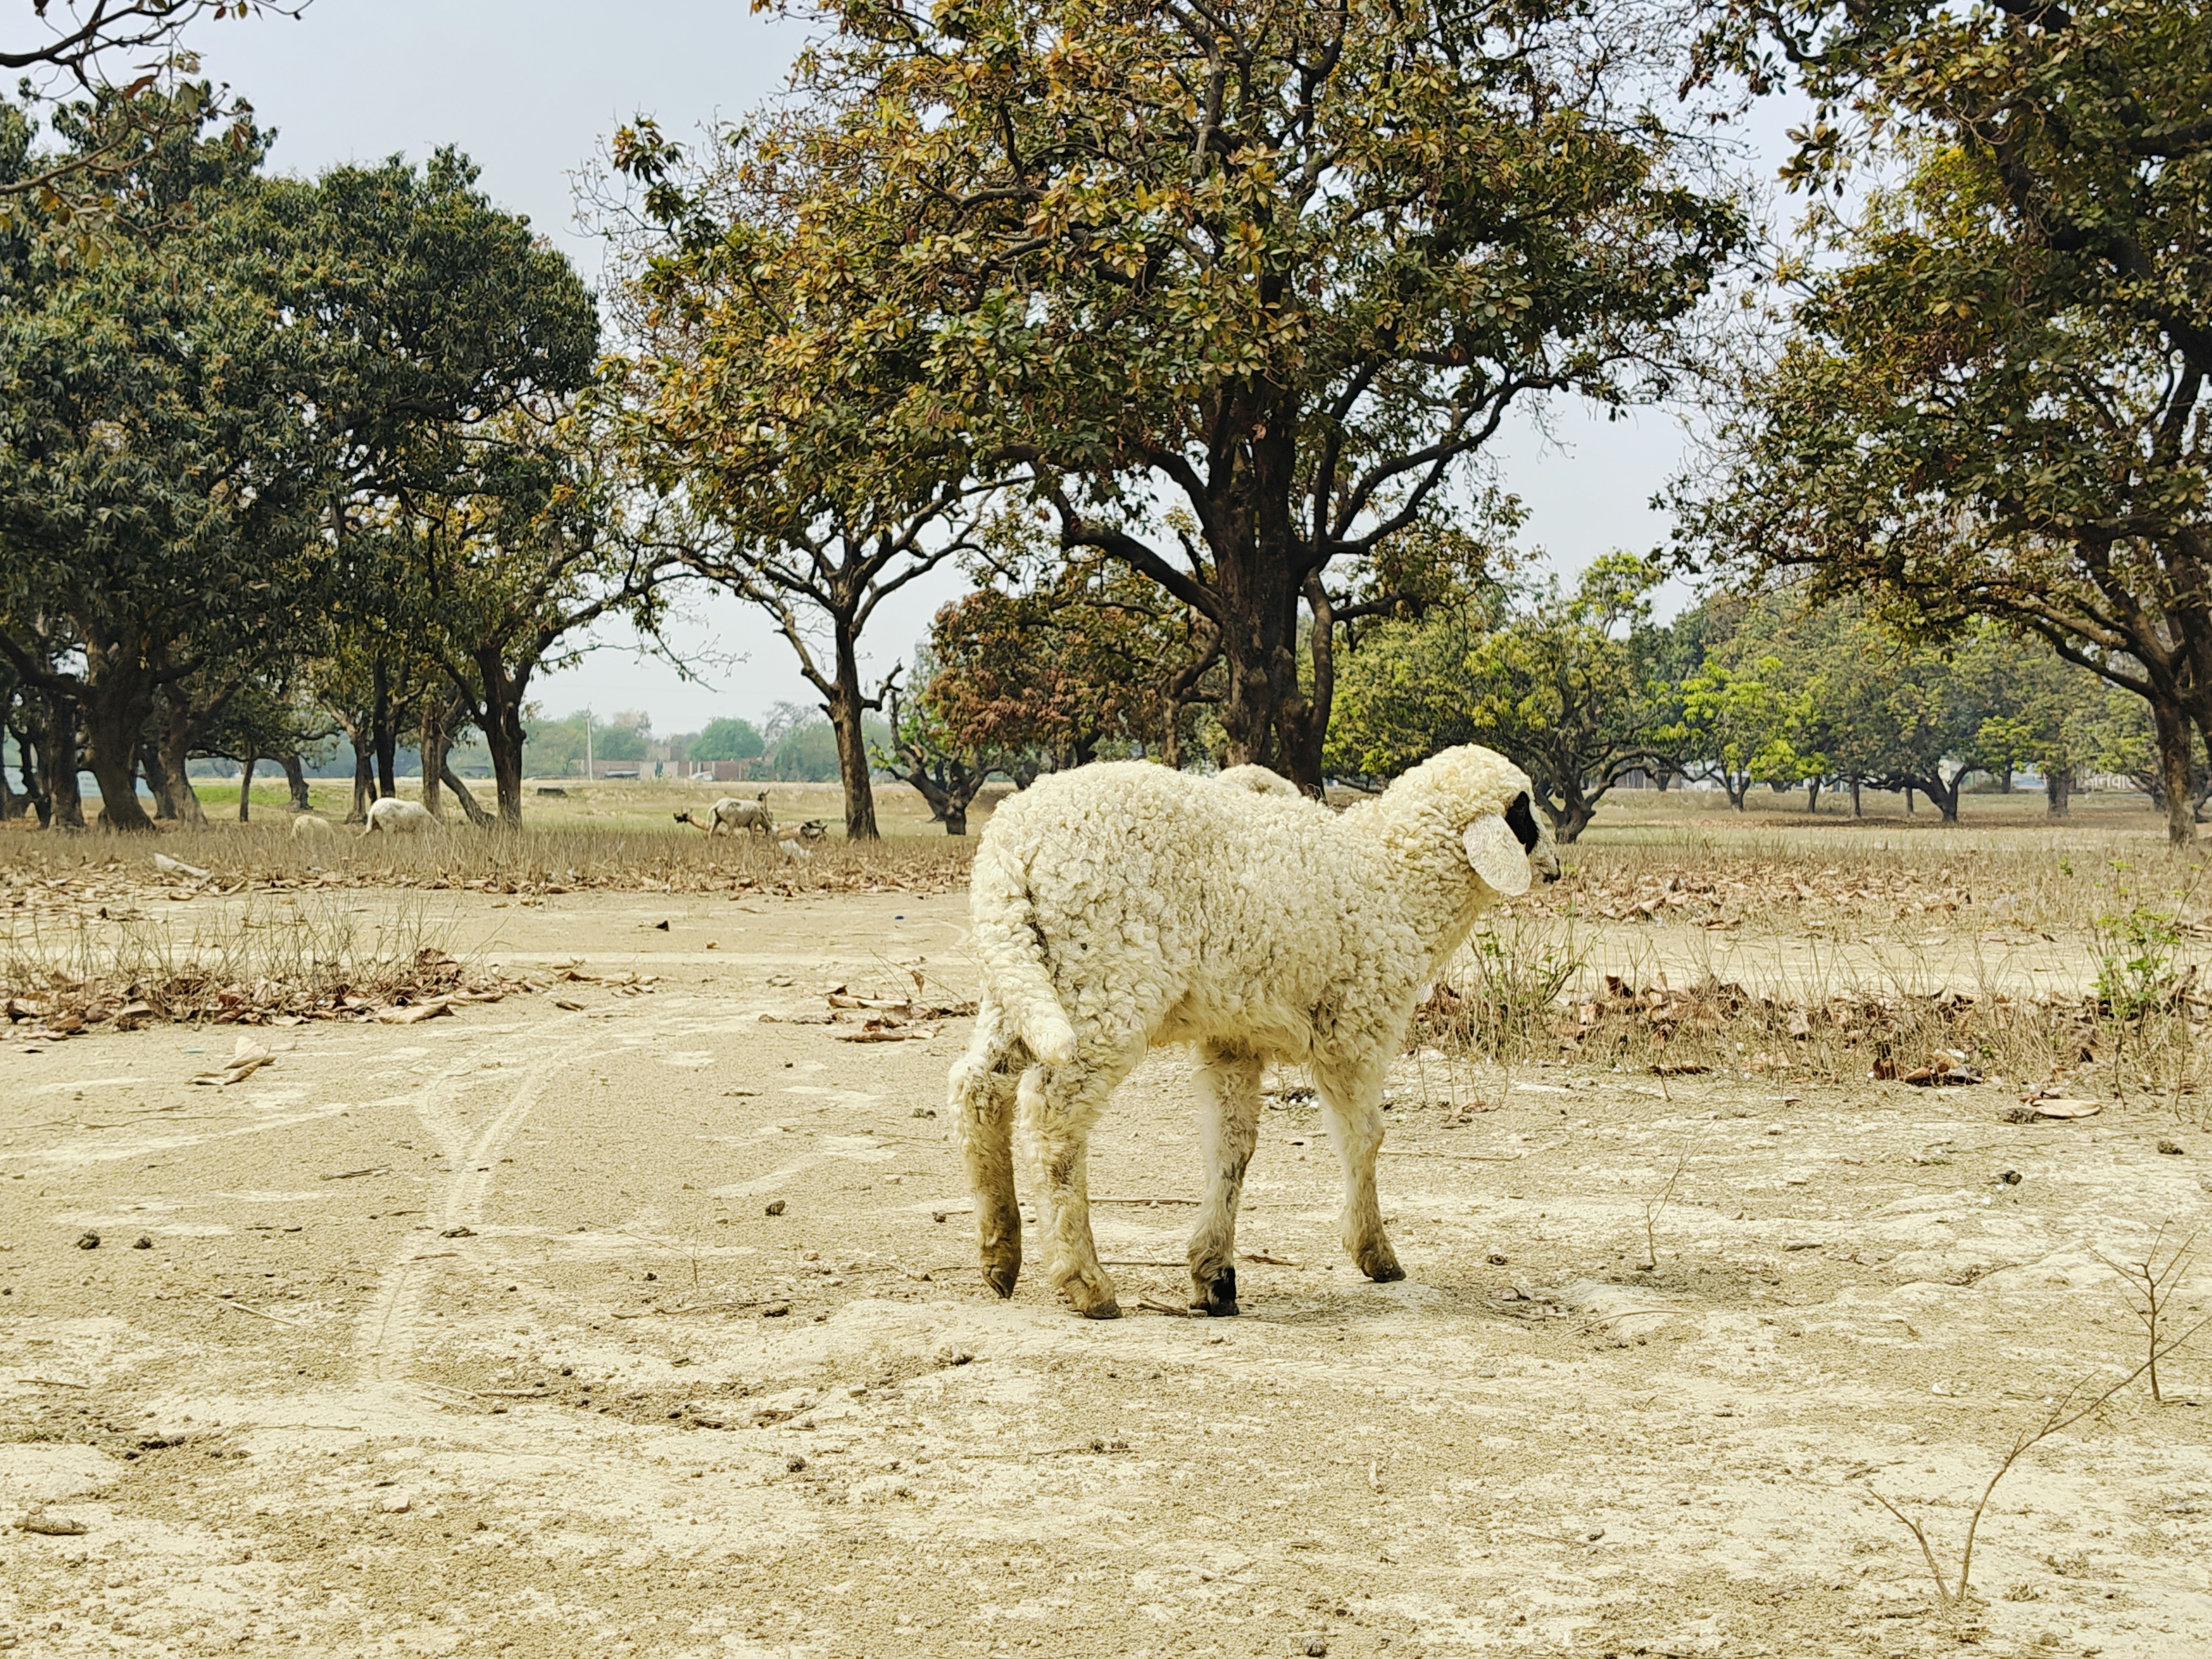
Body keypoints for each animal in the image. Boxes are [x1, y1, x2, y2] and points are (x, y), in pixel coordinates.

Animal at [948, 745, 1559, 1320]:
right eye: (1524, 808)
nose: (1554, 867)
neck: (1393, 879)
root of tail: (1007, 845)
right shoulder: (1357, 1030)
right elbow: (1364, 1139)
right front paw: (1375, 1252)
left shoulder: (1232, 1039)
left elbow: (1233, 1146)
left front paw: (1215, 1272)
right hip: (1102, 979)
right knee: (1052, 1115)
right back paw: (1085, 1281)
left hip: (1025, 977)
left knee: (978, 1088)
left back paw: (1000, 1253)